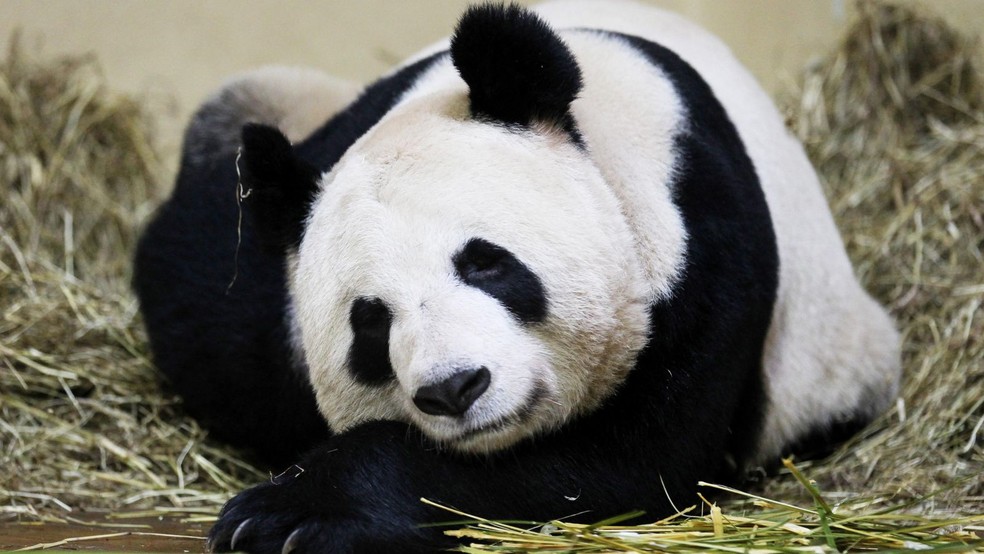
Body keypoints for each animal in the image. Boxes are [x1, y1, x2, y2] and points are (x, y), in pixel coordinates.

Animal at [133, 2, 901, 553]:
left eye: (487, 263)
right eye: (370, 322)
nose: (453, 389)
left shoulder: (703, 256)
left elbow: (621, 464)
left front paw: (287, 513)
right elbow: (203, 293)